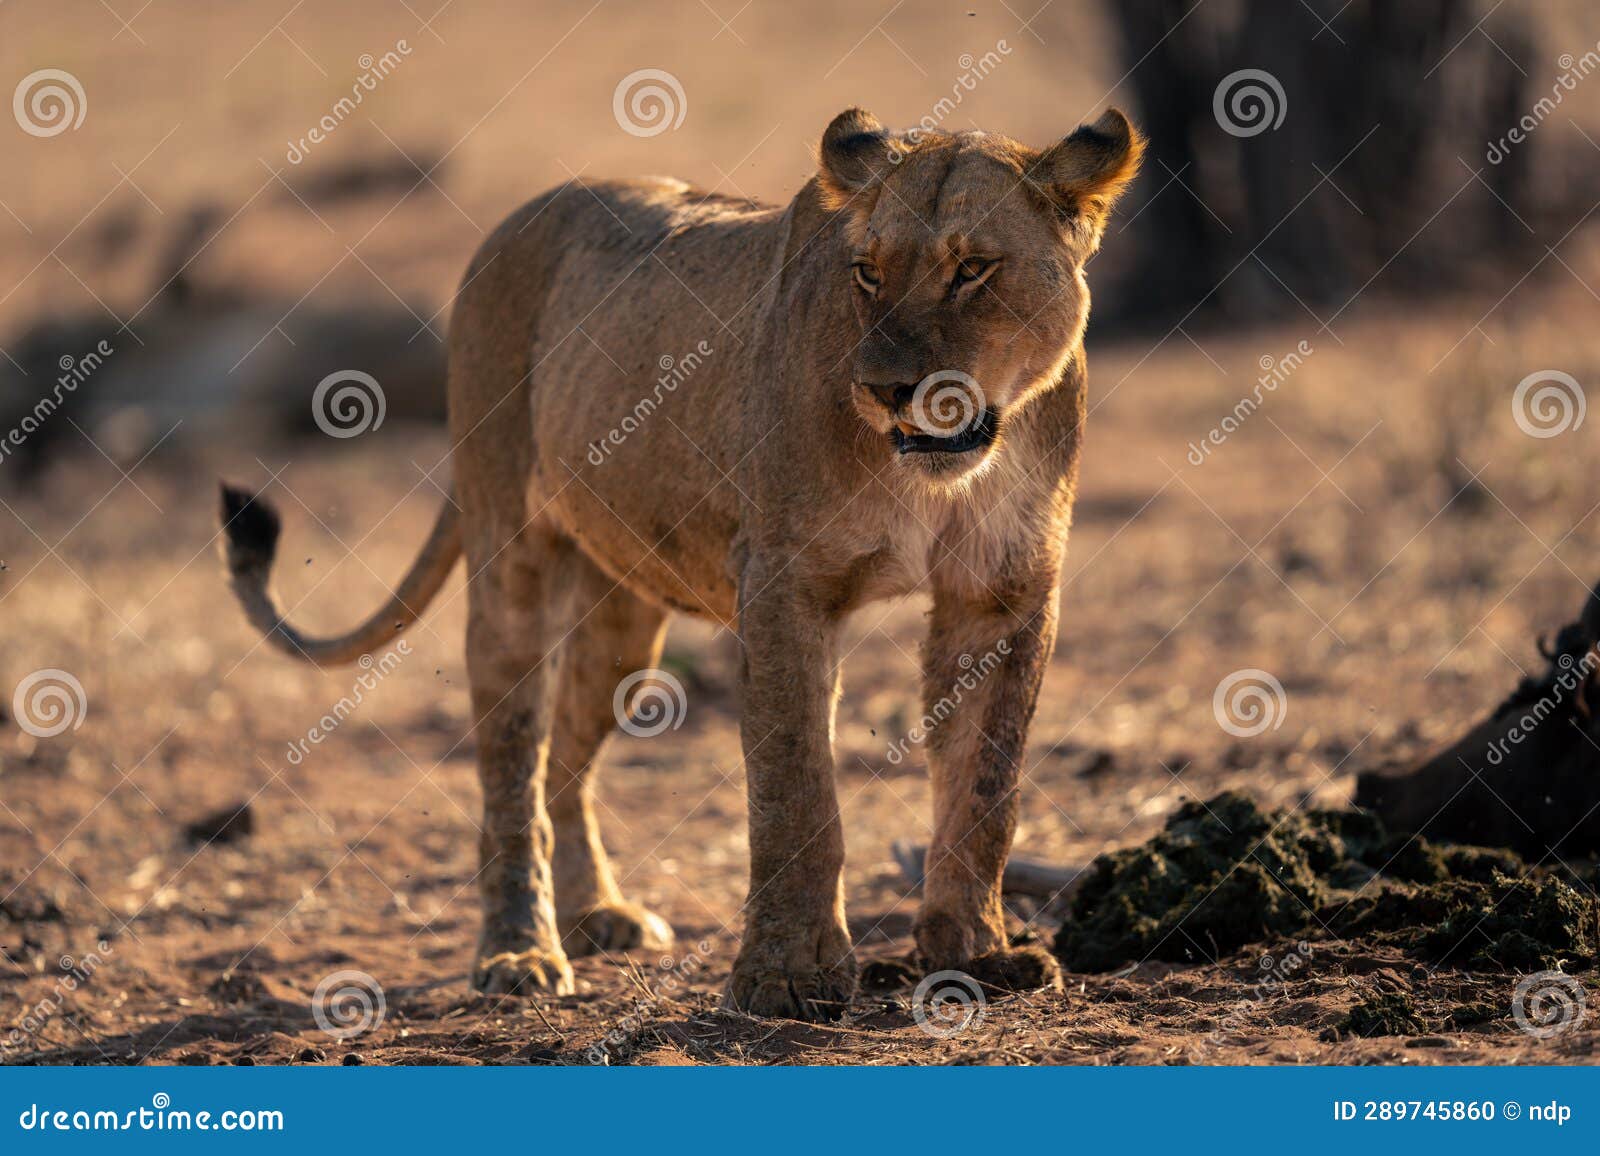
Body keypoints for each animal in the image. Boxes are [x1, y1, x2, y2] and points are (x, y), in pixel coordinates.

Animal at [219, 106, 1143, 1021]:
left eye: (973, 270)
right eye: (868, 273)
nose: (884, 389)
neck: (945, 475)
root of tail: (520, 217)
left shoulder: (1002, 592)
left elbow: (987, 783)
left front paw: (975, 953)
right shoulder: (784, 582)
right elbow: (795, 786)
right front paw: (785, 975)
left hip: (622, 618)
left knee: (565, 762)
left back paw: (598, 914)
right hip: (509, 552)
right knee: (511, 769)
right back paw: (520, 951)